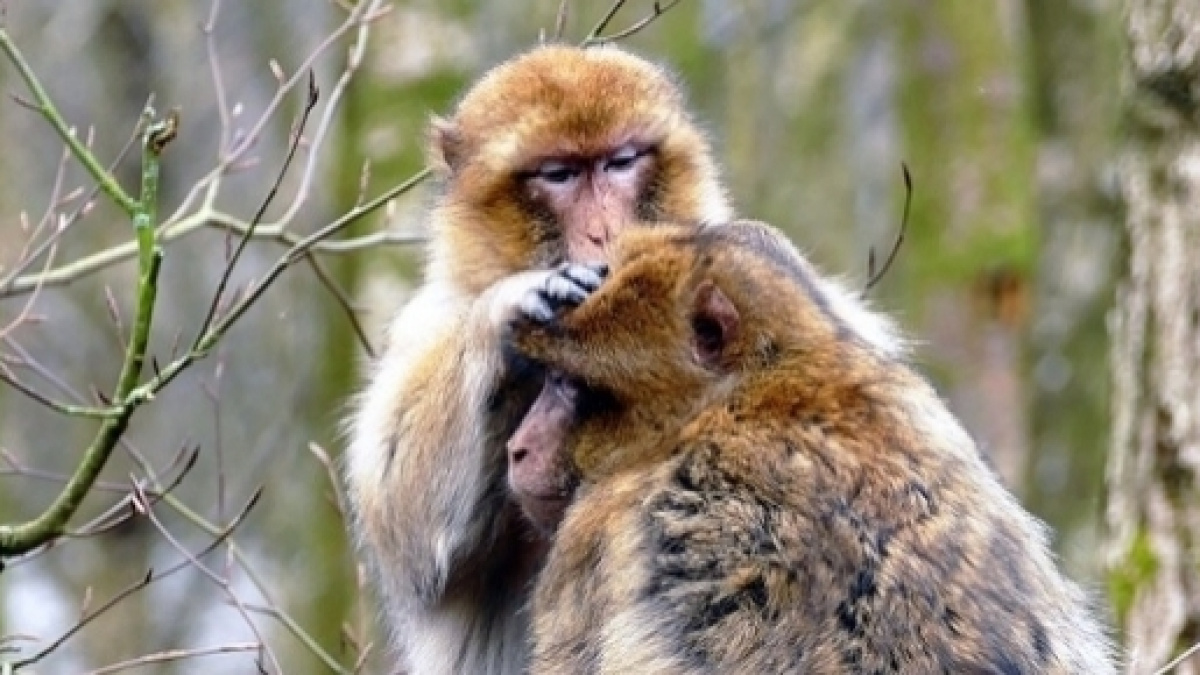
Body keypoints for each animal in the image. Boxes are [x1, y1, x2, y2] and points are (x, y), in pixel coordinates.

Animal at [343, 42, 733, 674]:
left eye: (620, 163)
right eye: (559, 175)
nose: (603, 233)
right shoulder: (426, 323)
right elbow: (400, 512)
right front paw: (506, 314)